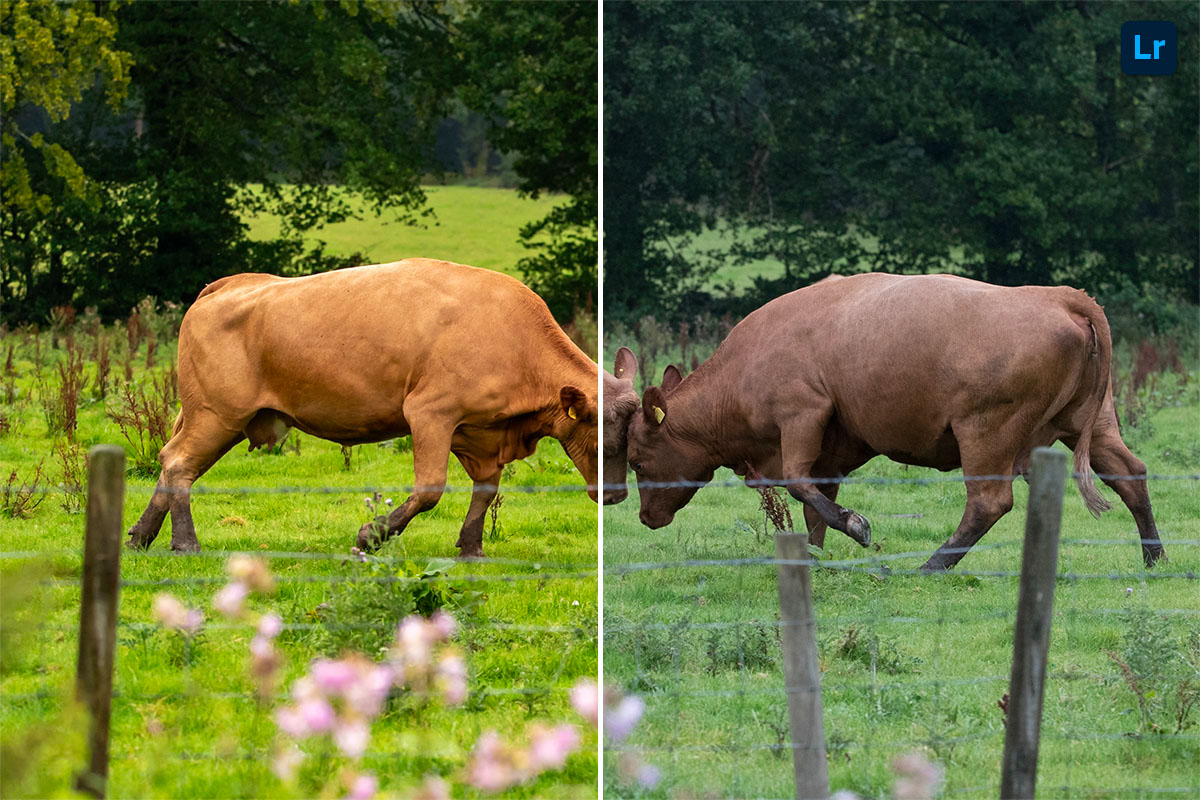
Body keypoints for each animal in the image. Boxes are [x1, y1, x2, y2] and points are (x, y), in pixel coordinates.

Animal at [125, 259, 599, 558]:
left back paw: (140, 536)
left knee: (171, 461)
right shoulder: (430, 412)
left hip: (216, 418)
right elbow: (429, 489)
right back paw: (185, 544)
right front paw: (372, 534)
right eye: (604, 436)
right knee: (178, 463)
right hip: (217, 413)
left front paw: (472, 548)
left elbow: (484, 491)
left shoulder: (481, 434)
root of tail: (229, 284)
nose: (611, 494)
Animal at [618, 273, 1165, 571]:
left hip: (987, 431)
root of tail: (1057, 295)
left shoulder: (802, 413)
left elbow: (798, 483)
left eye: (638, 461)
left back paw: (930, 566)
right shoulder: (831, 446)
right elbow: (816, 503)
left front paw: (856, 527)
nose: (645, 517)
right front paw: (814, 558)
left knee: (988, 503)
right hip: (1090, 424)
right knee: (1130, 475)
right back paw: (1155, 558)